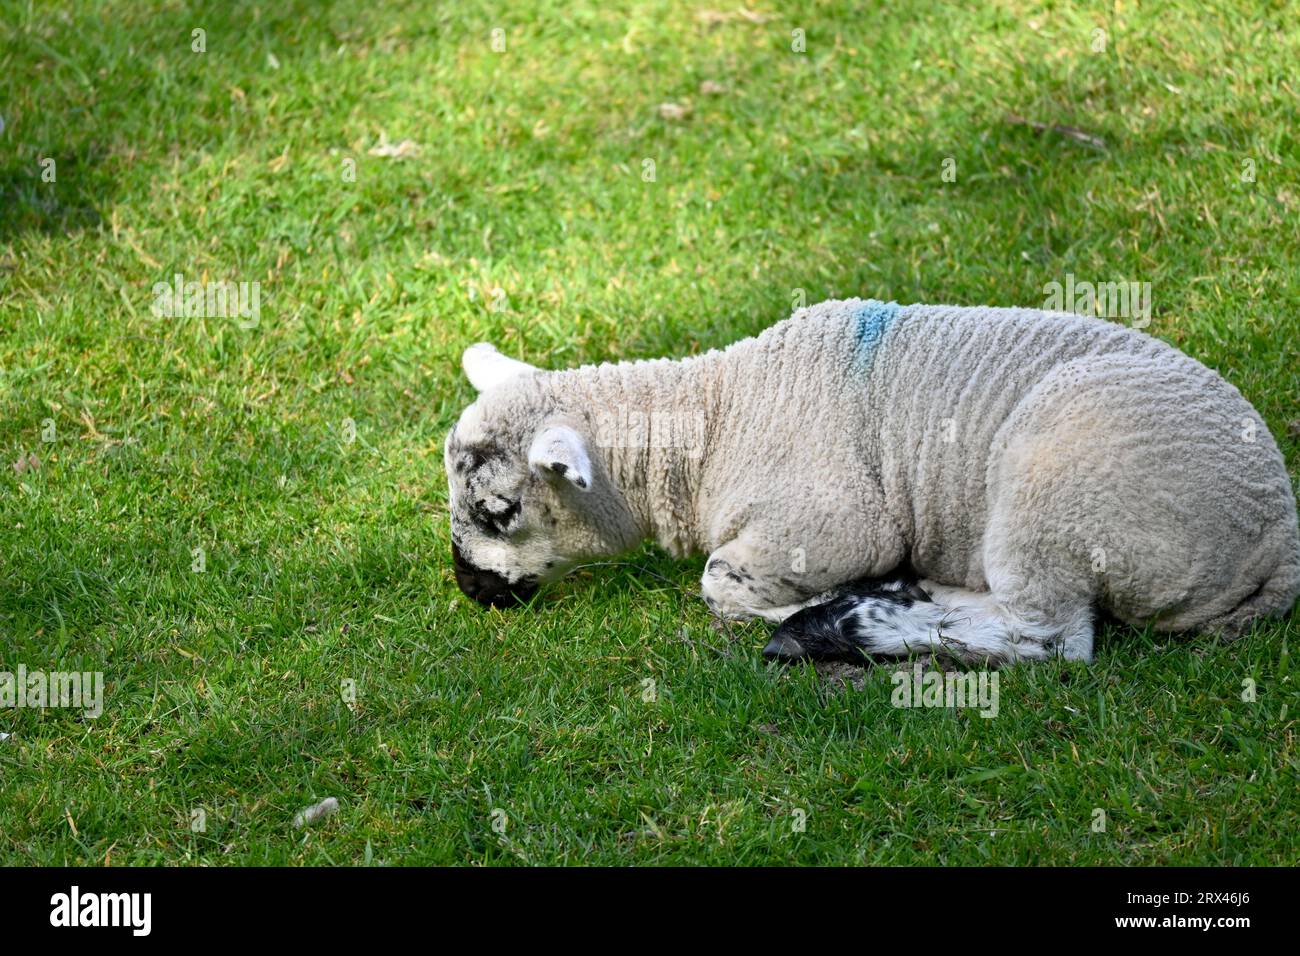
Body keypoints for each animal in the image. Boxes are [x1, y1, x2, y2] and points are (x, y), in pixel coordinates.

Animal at [443, 298, 1300, 666]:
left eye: (500, 510)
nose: (470, 591)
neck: (716, 423)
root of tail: (1279, 538)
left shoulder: (834, 523)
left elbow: (719, 584)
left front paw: (799, 608)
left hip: (1057, 488)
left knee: (1053, 638)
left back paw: (845, 625)